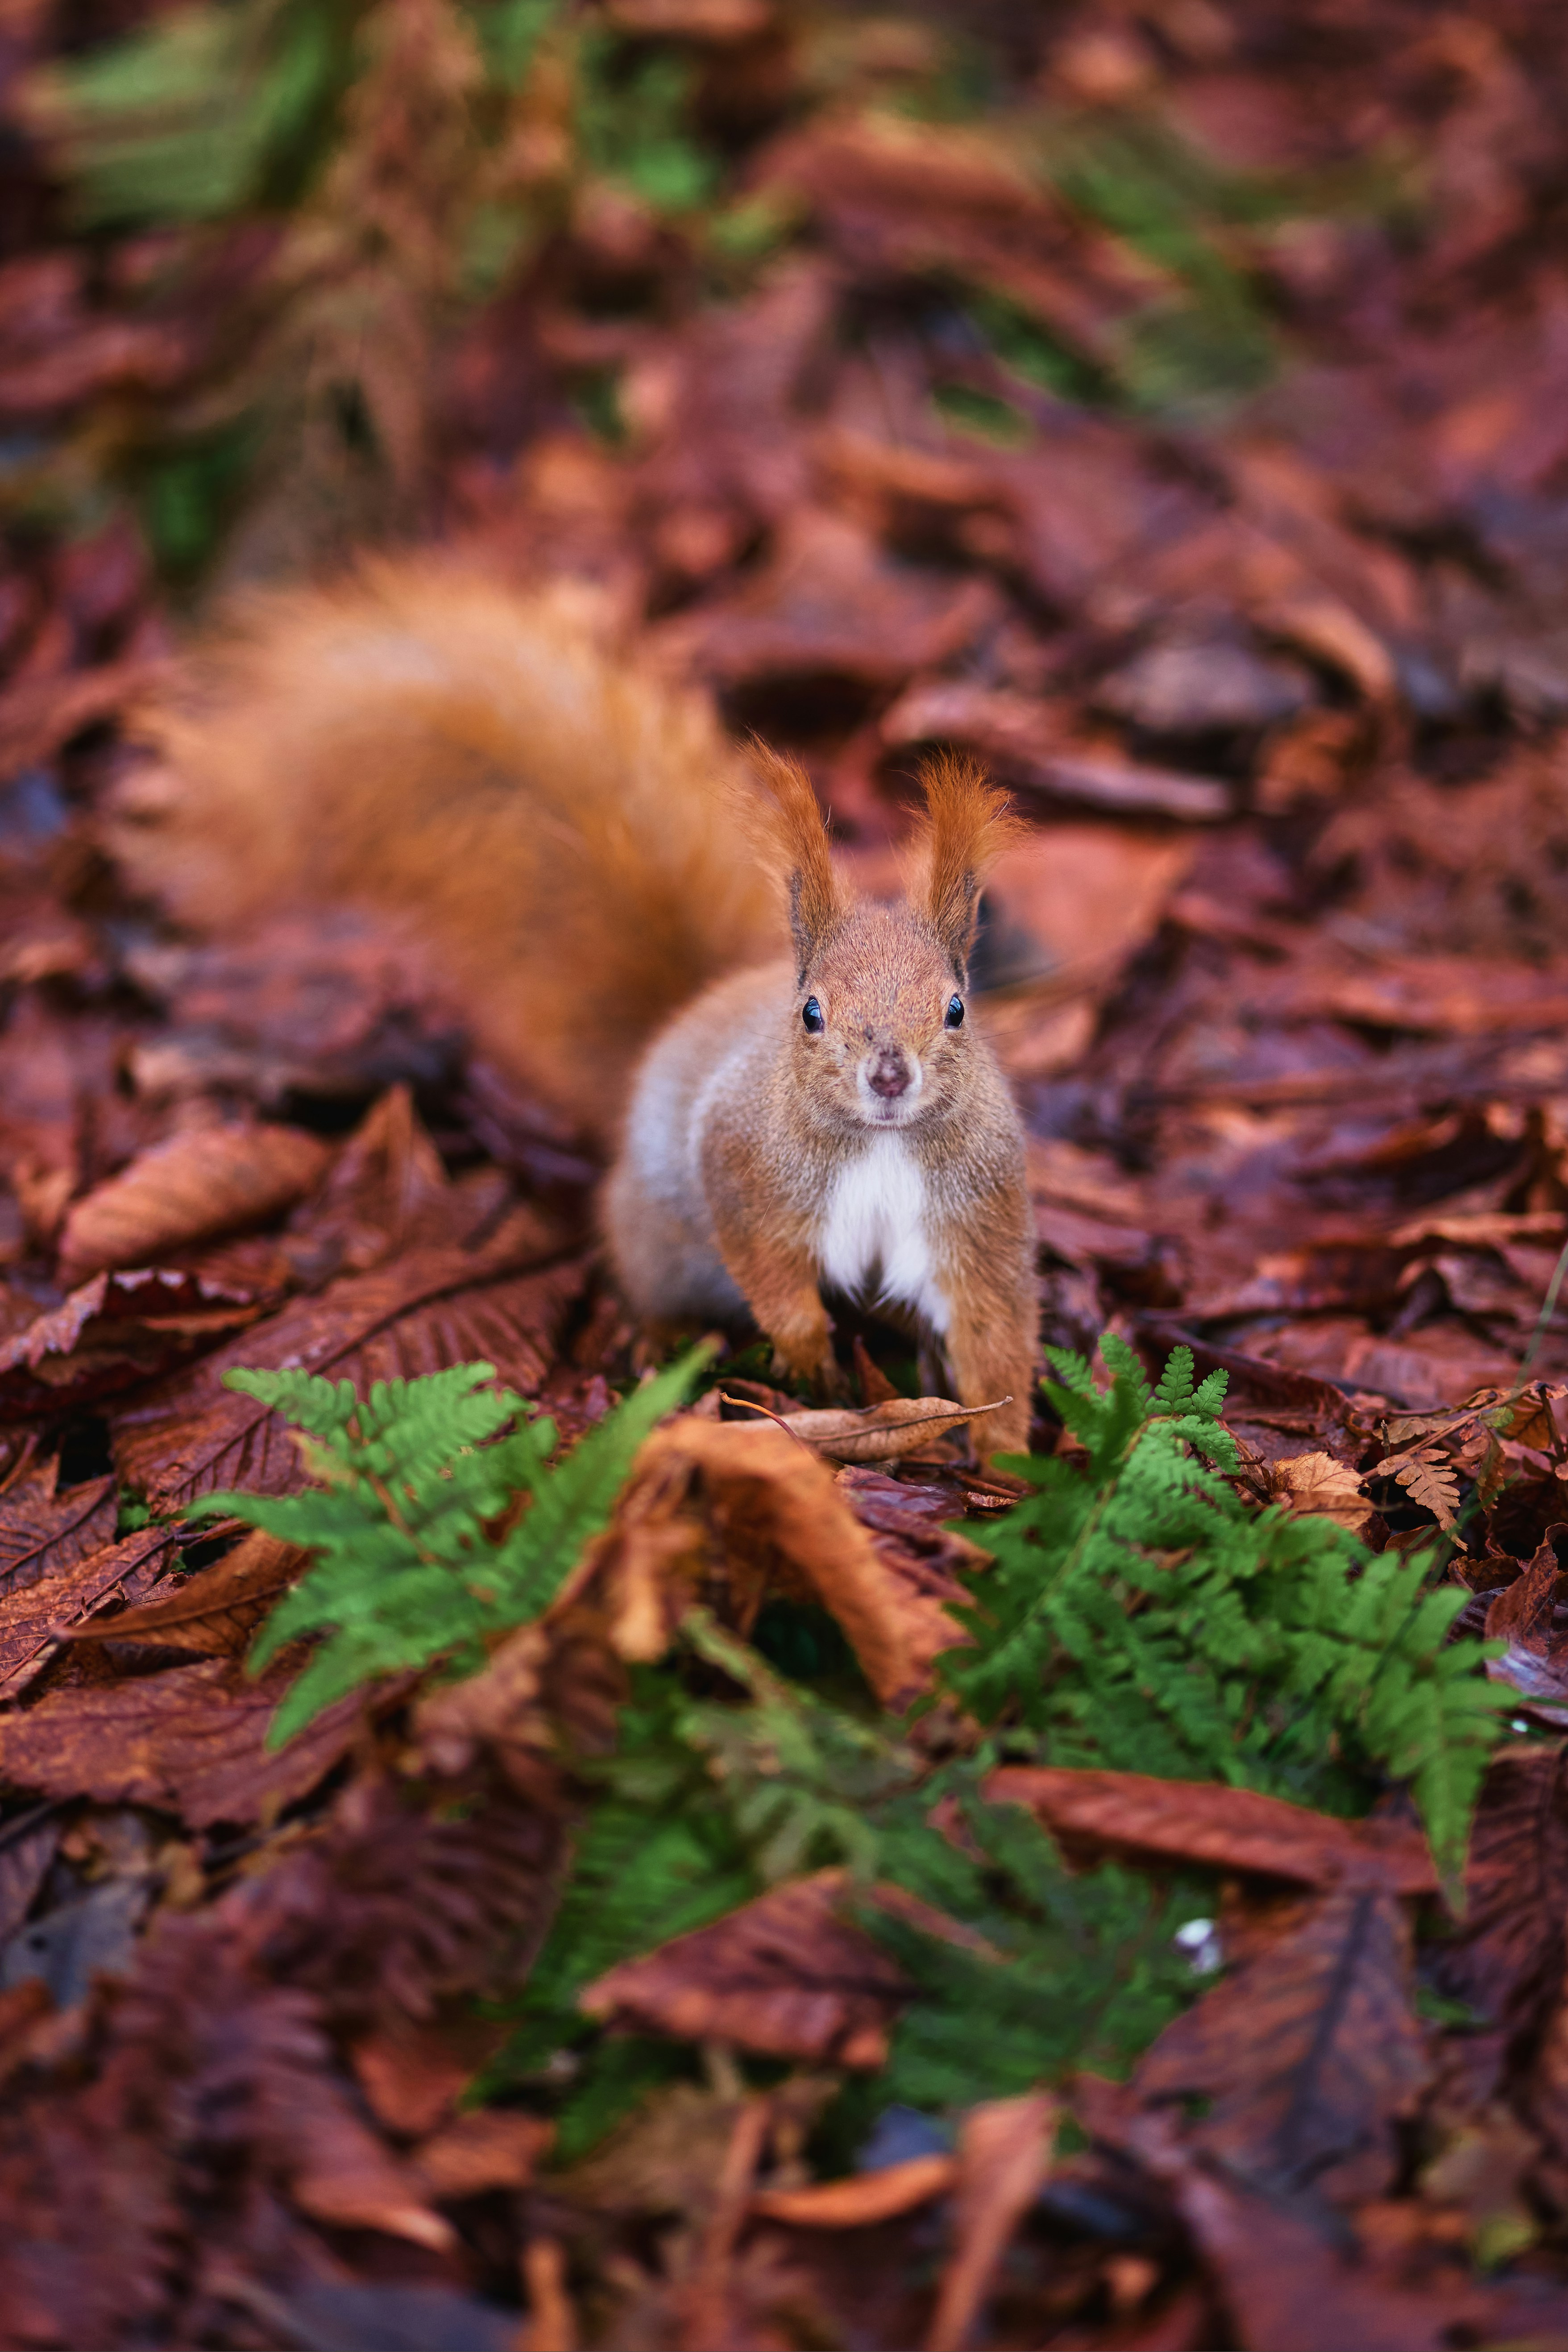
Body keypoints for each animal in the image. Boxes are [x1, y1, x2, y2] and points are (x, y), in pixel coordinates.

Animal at [113, 559, 1039, 1457]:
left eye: (956, 1009)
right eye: (810, 1013)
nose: (887, 1074)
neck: (879, 1146)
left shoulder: (977, 1209)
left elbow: (994, 1324)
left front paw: (1004, 1459)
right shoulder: (739, 1168)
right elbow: (770, 1272)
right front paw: (809, 1353)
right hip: (656, 1234)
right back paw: (662, 1337)